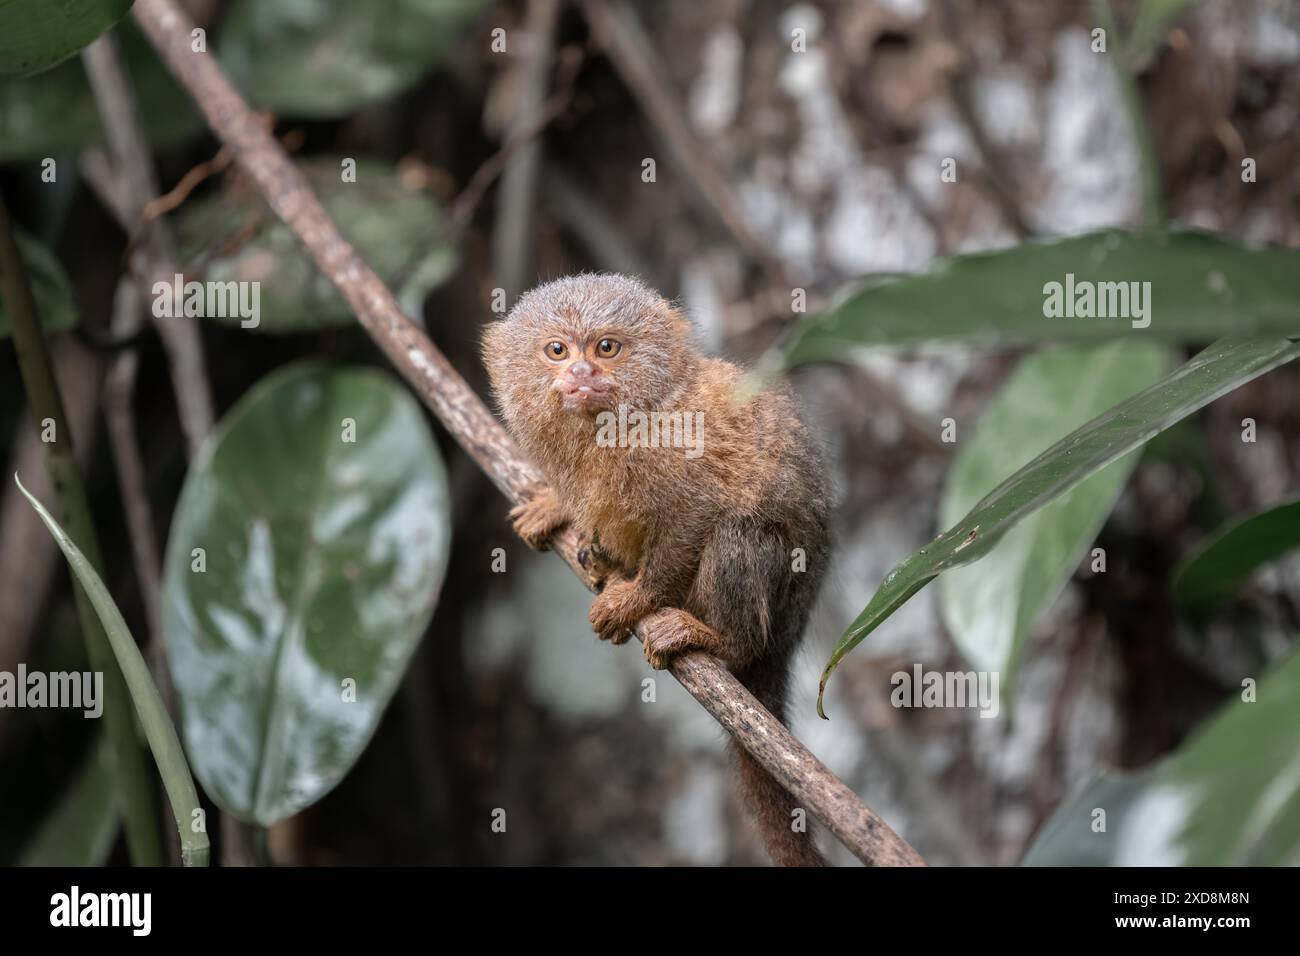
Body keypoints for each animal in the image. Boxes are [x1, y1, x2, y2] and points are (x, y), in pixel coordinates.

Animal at [482, 273, 831, 867]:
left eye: (606, 348)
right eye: (557, 350)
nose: (581, 374)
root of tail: (794, 628)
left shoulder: (675, 459)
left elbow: (693, 519)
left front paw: (637, 599)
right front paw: (554, 506)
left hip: (779, 599)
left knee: (741, 535)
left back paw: (716, 638)